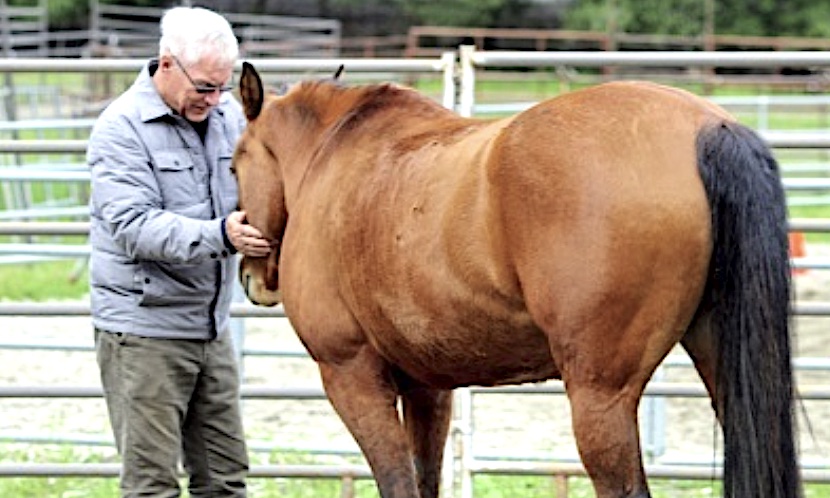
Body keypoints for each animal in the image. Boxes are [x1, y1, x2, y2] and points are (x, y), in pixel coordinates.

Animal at [232, 61, 801, 498]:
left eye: (234, 163)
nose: (250, 275)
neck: (333, 156)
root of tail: (706, 129)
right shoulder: (427, 388)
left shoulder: (351, 375)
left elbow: (397, 482)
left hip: (600, 397)